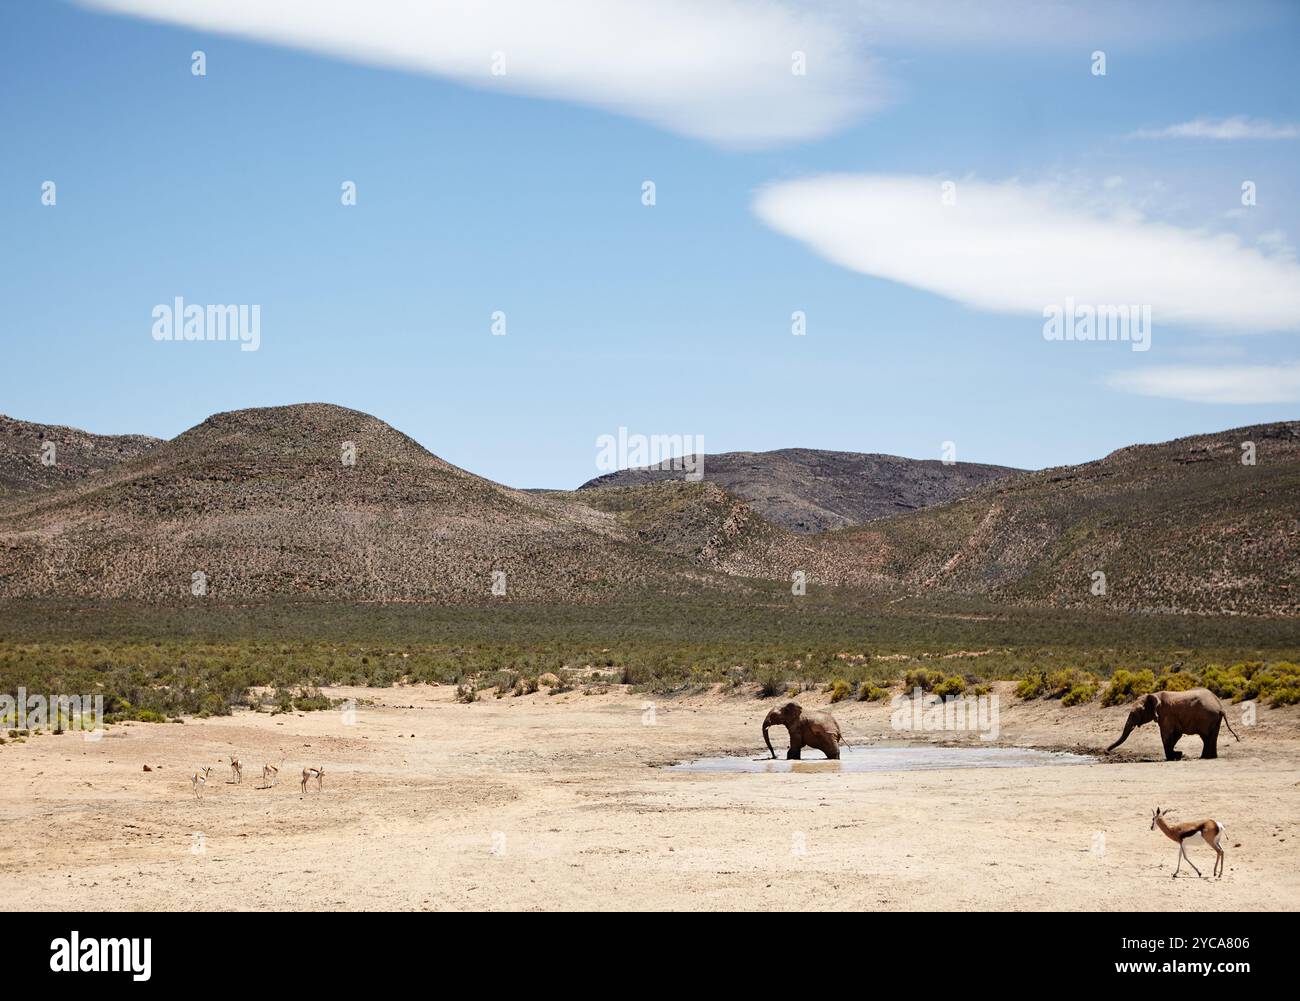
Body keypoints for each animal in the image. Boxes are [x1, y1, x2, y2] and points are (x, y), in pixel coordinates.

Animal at [1106, 688, 1240, 761]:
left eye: (1137, 712)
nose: (1106, 751)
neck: (1155, 694)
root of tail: (1220, 706)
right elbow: (1175, 735)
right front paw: (1178, 754)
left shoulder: (1166, 714)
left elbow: (1166, 735)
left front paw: (1174, 756)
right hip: (1214, 719)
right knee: (1211, 737)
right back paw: (1209, 757)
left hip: (1206, 717)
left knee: (1206, 737)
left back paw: (1205, 757)